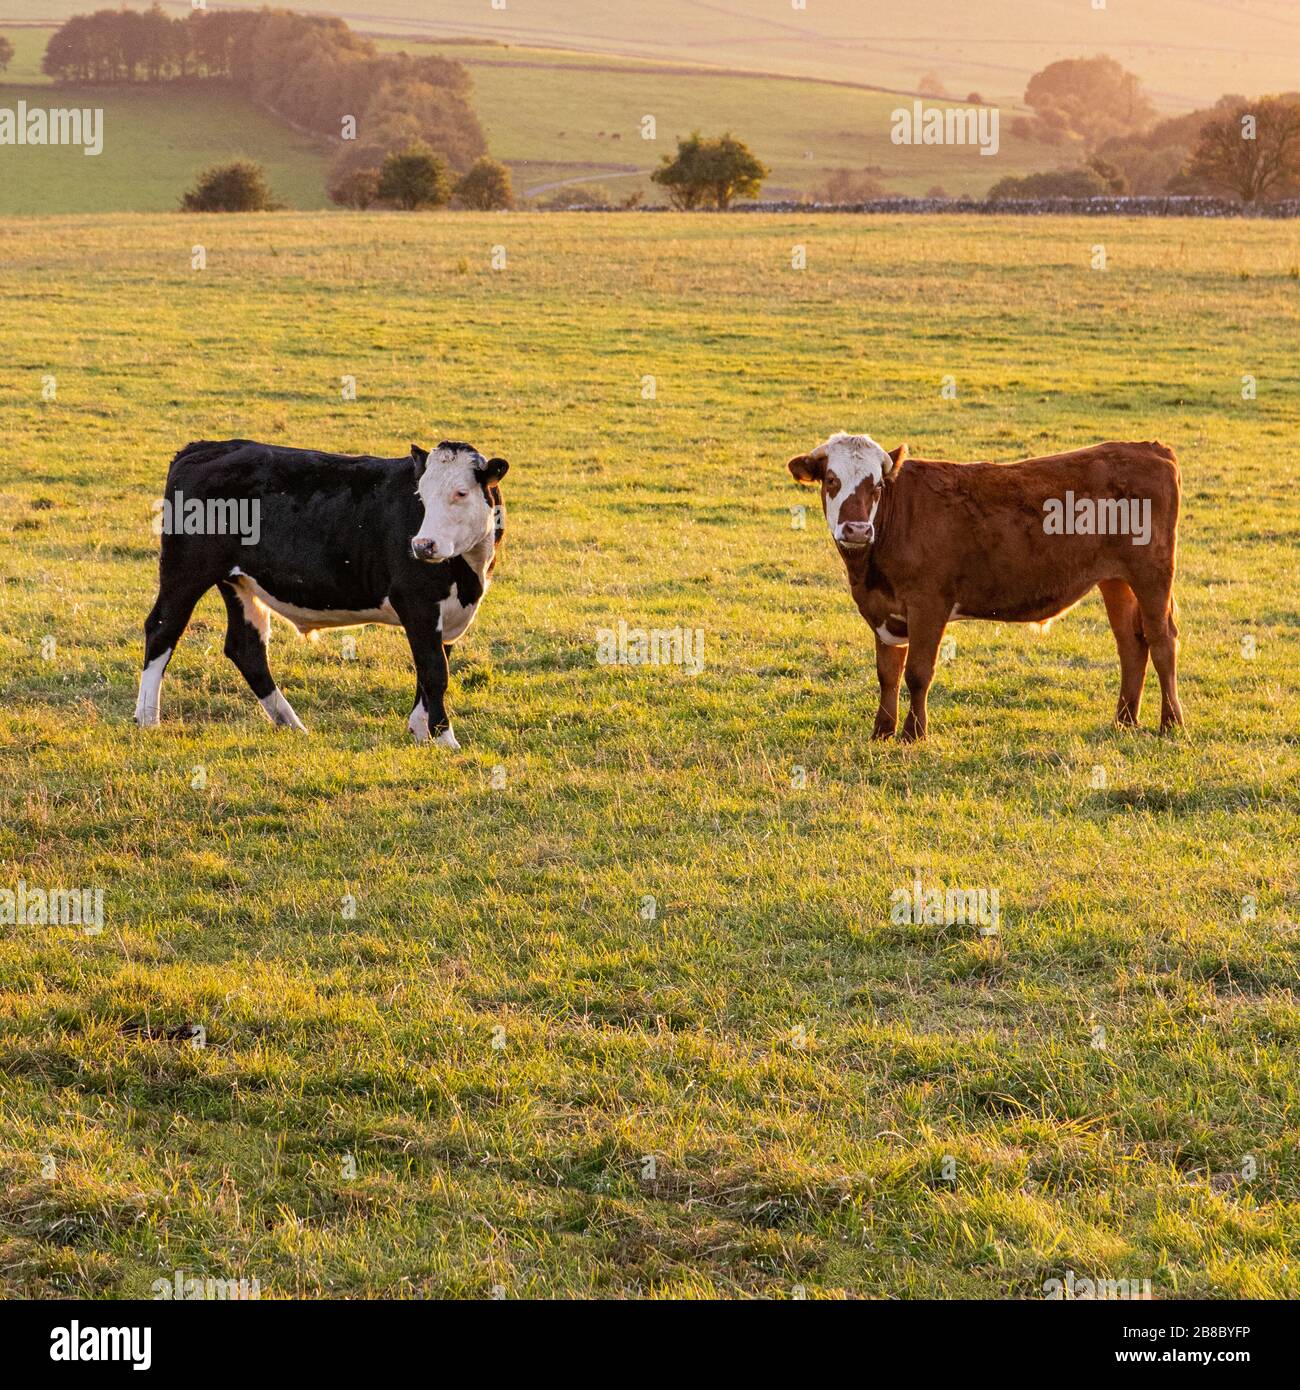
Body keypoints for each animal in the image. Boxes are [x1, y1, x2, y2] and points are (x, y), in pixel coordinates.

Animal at [136, 438, 509, 748]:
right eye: (421, 496)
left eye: (461, 493)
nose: (422, 545)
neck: (469, 572)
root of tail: (204, 447)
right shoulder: (417, 602)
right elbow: (434, 672)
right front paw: (445, 739)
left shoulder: (448, 613)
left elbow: (431, 668)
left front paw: (420, 729)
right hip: (185, 570)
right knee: (162, 629)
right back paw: (148, 718)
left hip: (238, 581)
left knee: (246, 647)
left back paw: (289, 722)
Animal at [787, 433, 1183, 741]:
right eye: (831, 480)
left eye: (878, 486)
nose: (856, 529)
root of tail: (1150, 448)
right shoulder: (886, 611)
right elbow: (888, 673)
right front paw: (882, 733)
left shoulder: (928, 603)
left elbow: (917, 672)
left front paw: (913, 735)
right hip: (1116, 580)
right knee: (1131, 643)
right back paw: (1124, 721)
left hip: (1152, 573)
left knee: (1161, 640)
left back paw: (1171, 723)